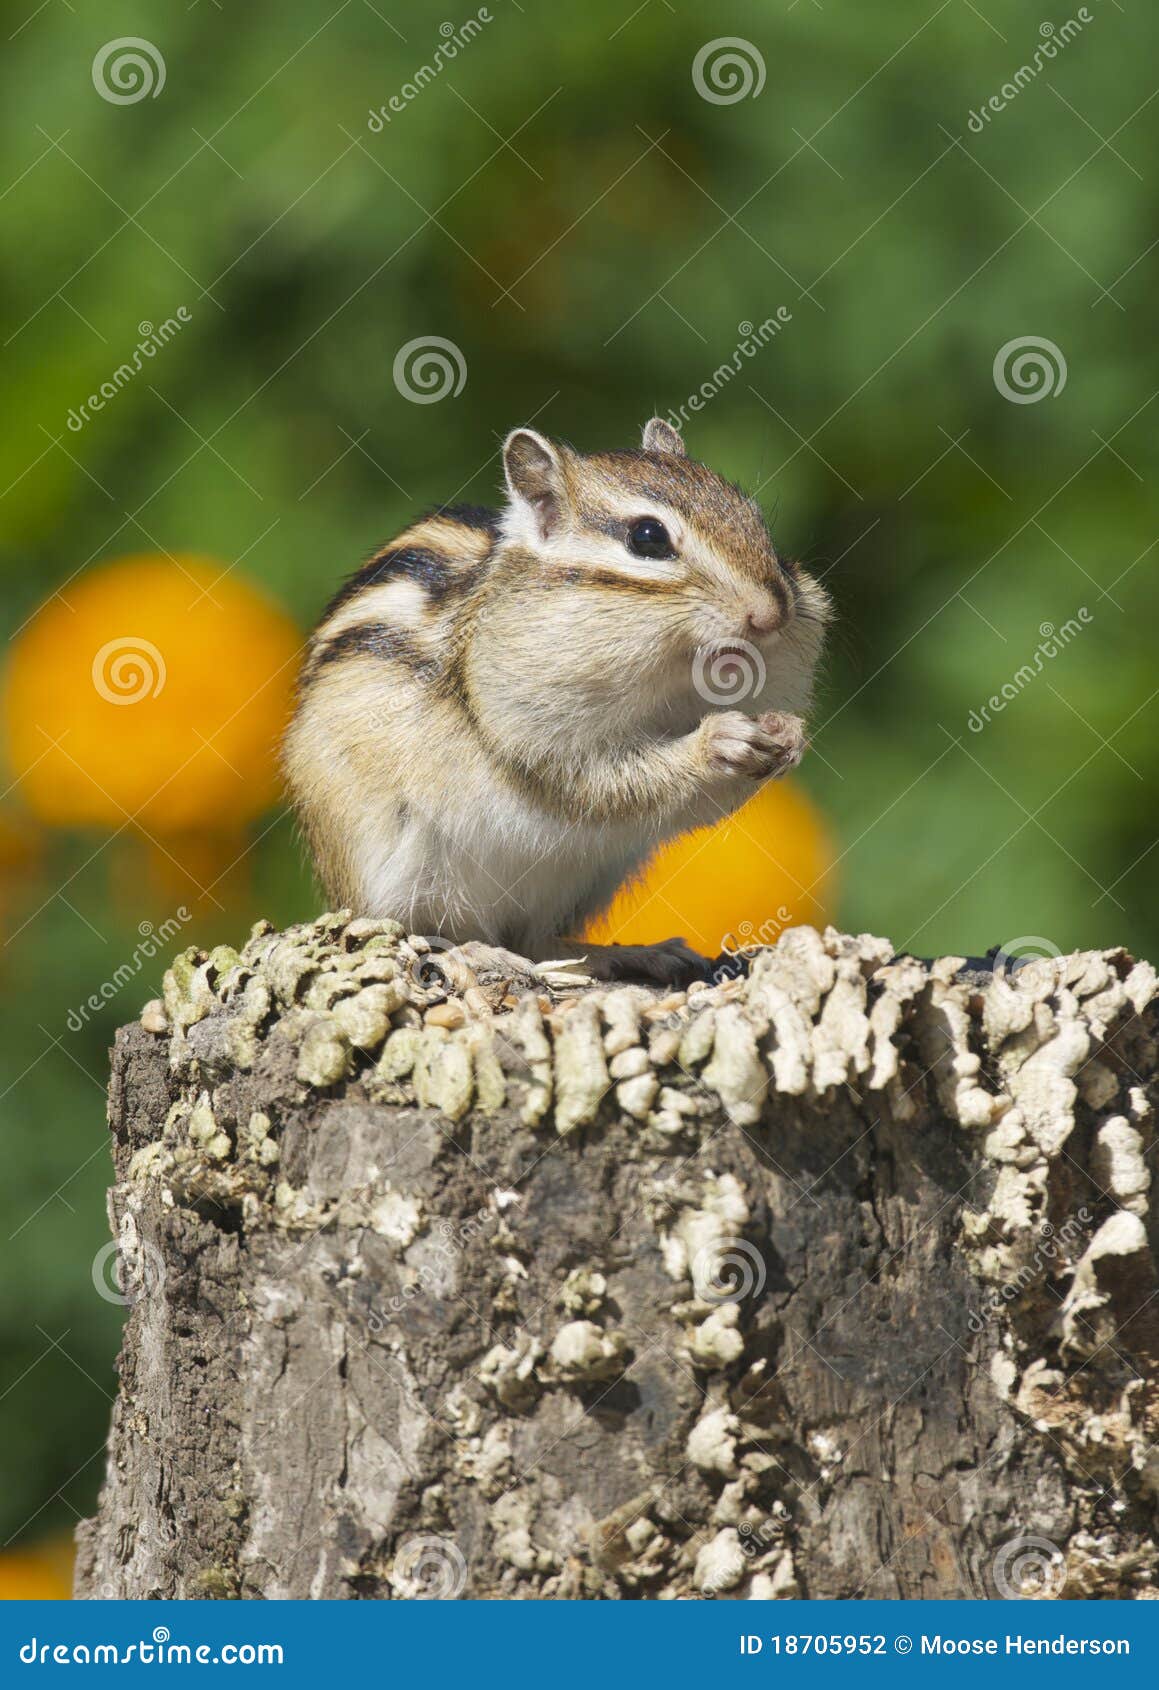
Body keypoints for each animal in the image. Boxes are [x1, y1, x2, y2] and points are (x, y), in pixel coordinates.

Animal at [282, 417, 831, 986]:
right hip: (395, 869)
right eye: (648, 537)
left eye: (753, 514)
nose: (772, 614)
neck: (672, 682)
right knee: (414, 929)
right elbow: (593, 784)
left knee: (537, 940)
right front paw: (716, 742)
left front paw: (788, 736)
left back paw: (631, 953)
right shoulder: (535, 741)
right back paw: (476, 953)